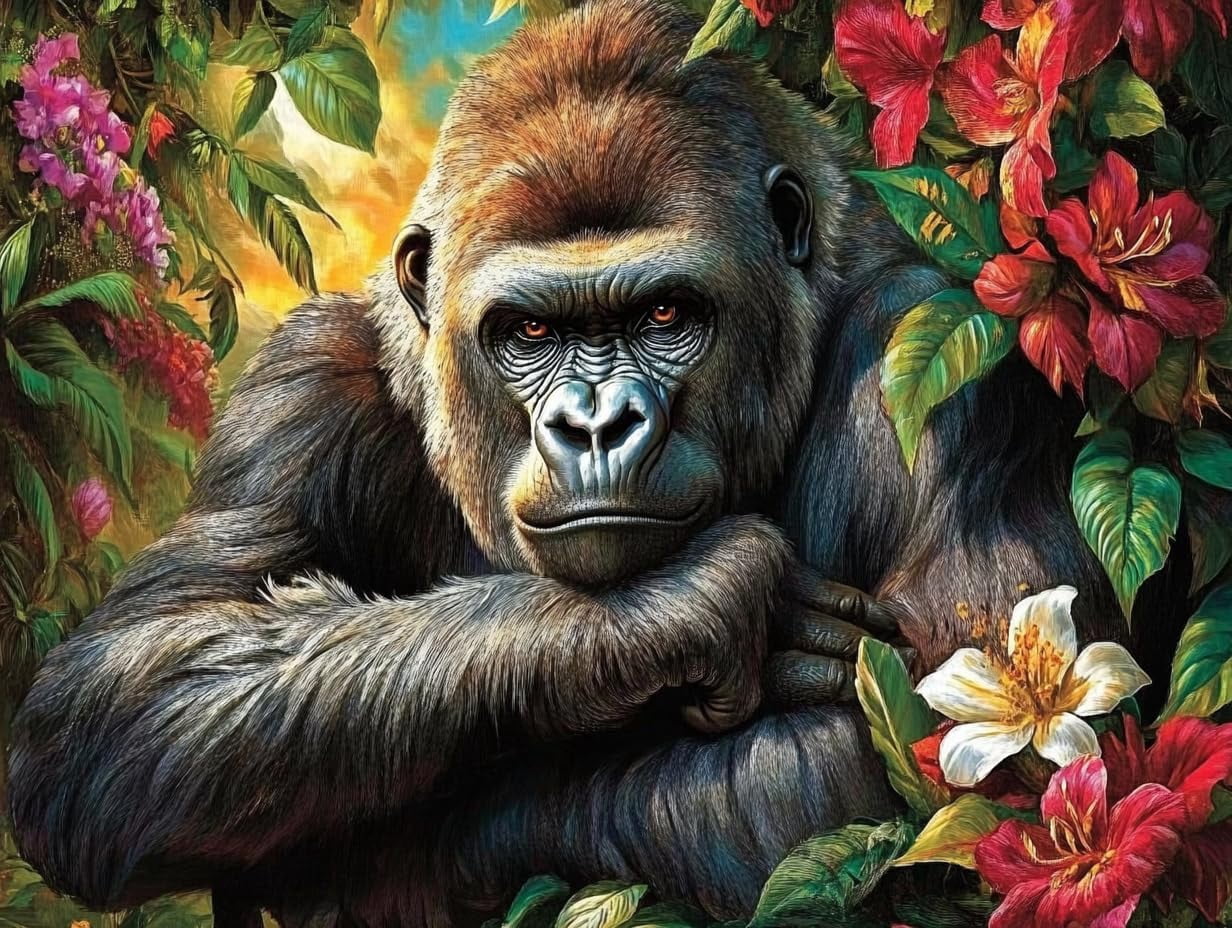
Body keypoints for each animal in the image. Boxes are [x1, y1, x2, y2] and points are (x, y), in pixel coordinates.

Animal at [7, 0, 1152, 925]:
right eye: (527, 332)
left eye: (664, 315)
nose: (596, 424)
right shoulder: (305, 387)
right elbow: (120, 704)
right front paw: (671, 610)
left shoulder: (937, 356)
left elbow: (949, 790)